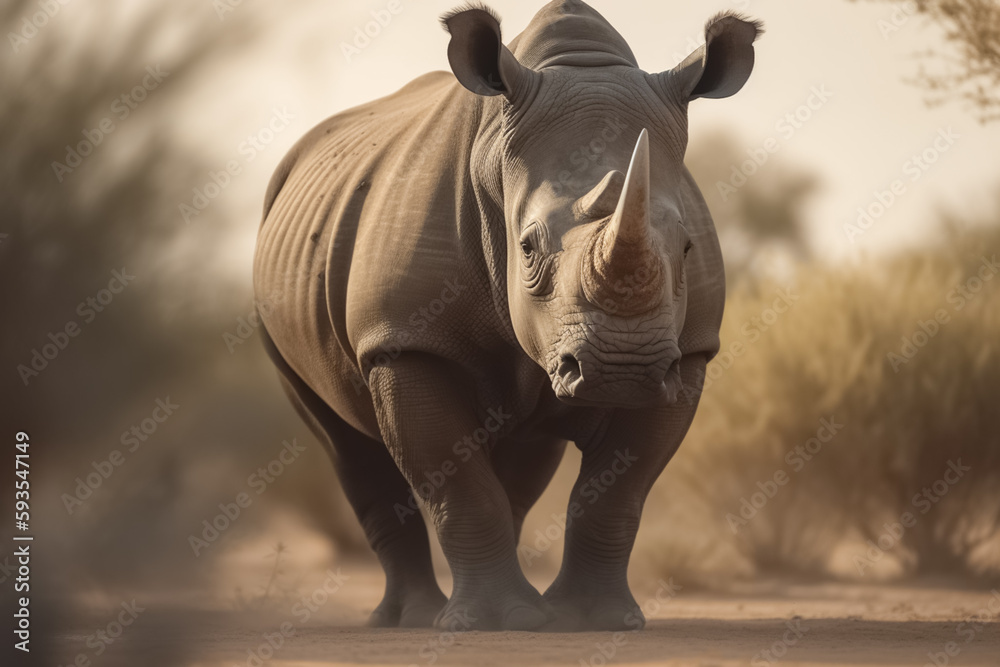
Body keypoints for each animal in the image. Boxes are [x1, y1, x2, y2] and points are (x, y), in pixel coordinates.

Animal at [253, 0, 761, 631]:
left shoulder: (688, 354)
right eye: (527, 248)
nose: (623, 368)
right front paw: (487, 623)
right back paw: (411, 619)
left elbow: (619, 490)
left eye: (688, 249)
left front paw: (596, 620)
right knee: (346, 445)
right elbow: (456, 482)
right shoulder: (406, 340)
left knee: (524, 454)